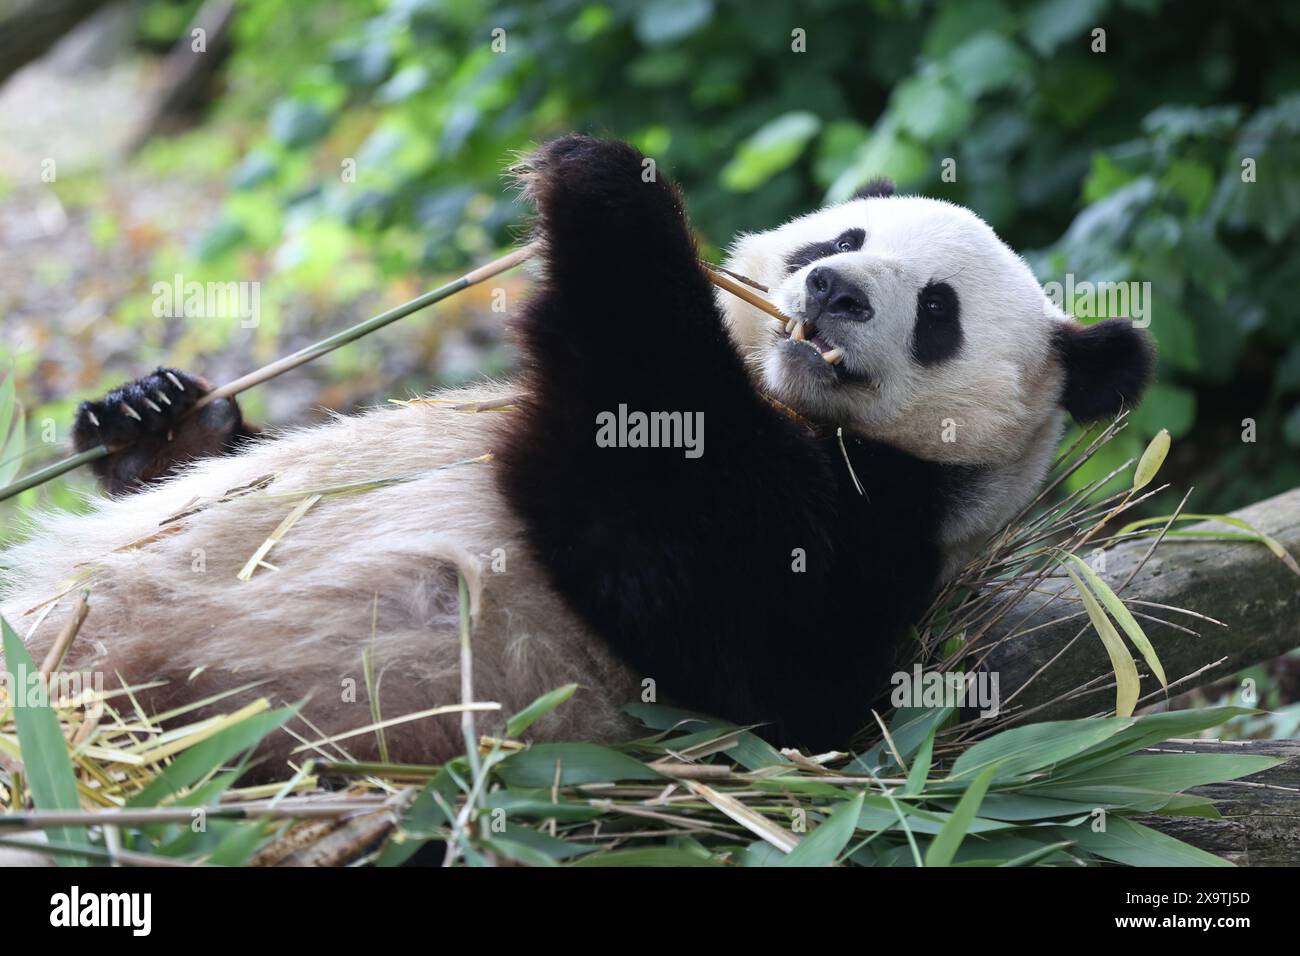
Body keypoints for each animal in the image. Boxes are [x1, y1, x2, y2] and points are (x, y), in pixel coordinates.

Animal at [0, 136, 1151, 771]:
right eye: (842, 240)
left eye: (939, 311)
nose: (833, 293)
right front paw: (158, 417)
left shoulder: (877, 545)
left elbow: (727, 620)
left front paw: (609, 187)